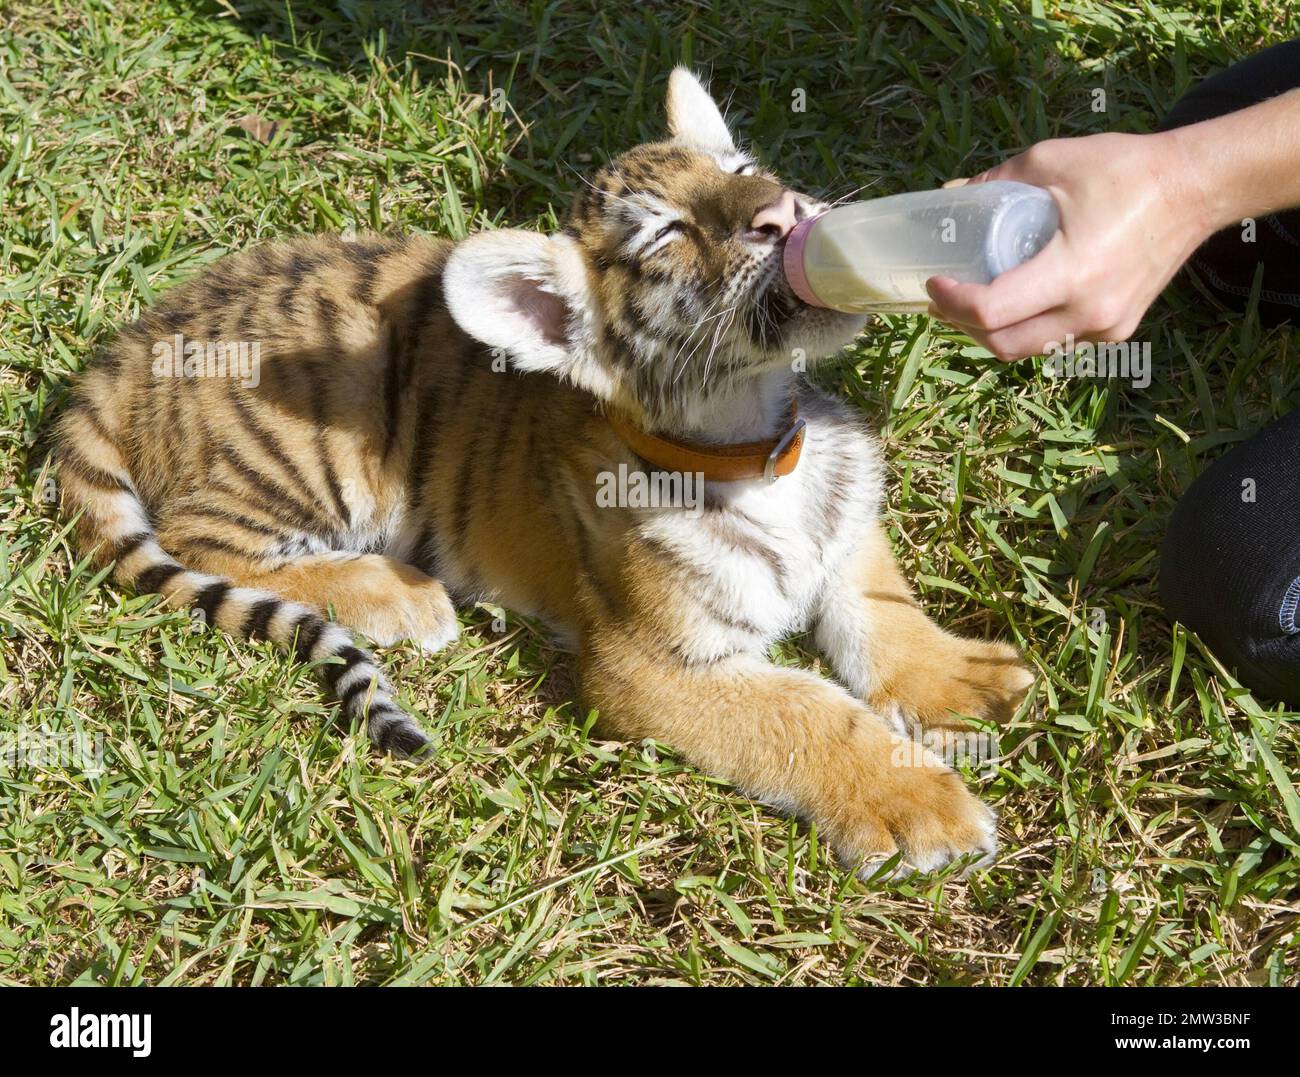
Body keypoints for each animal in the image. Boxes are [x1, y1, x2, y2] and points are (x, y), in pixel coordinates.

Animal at [55, 68, 1034, 875]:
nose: (784, 210)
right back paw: (399, 594)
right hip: (318, 448)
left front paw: (966, 686)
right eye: (669, 232)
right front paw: (922, 807)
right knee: (203, 538)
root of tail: (134, 341)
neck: (757, 440)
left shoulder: (845, 521)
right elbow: (811, 715)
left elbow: (880, 607)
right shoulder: (650, 664)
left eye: (744, 165)